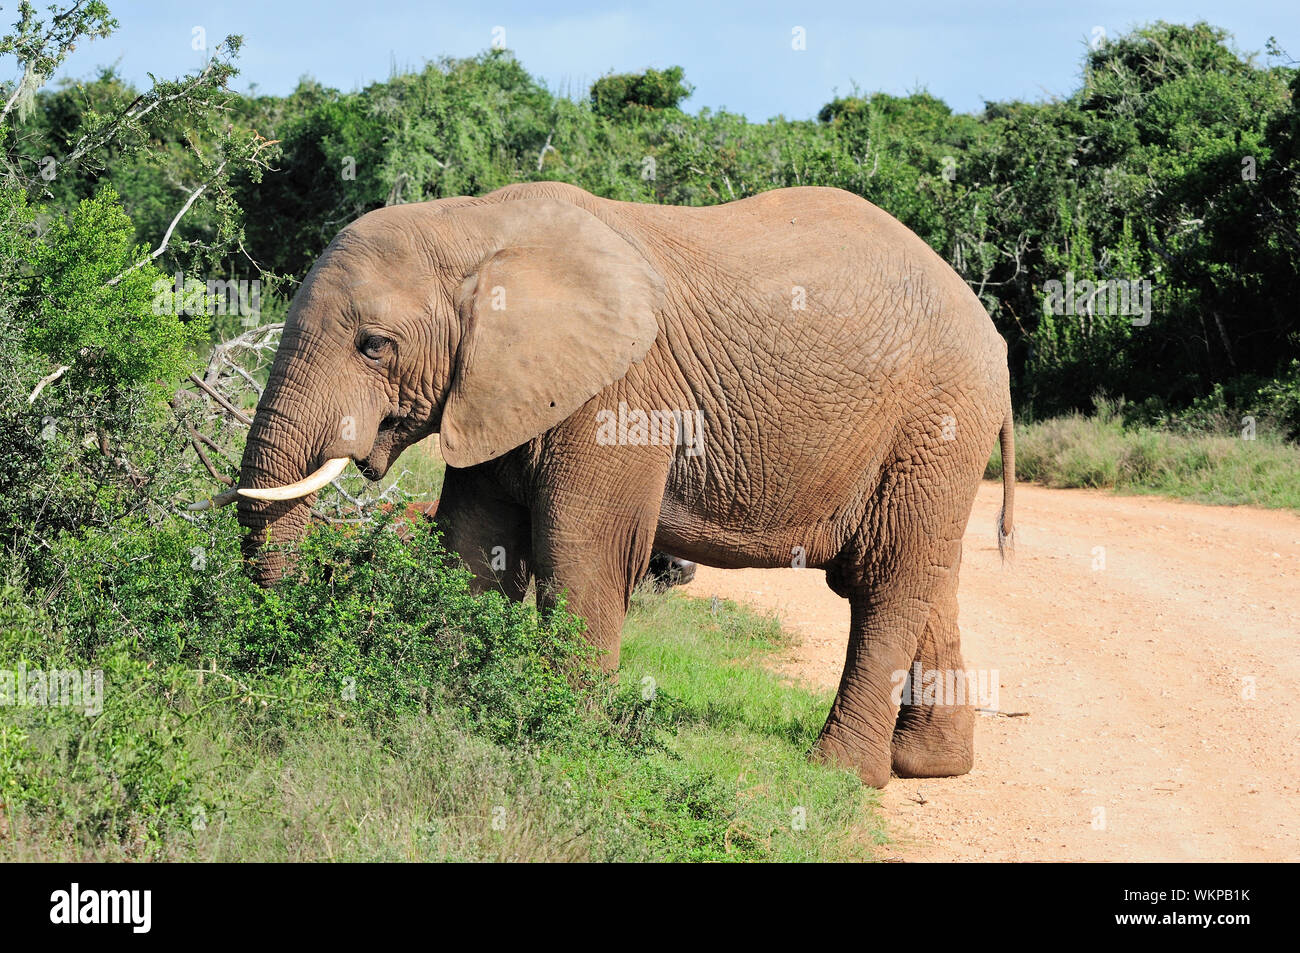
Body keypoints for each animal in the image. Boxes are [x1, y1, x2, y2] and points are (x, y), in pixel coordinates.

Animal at [217, 181, 1015, 788]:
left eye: (374, 346)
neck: (476, 225)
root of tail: (996, 340)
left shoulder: (620, 394)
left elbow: (582, 547)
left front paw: (561, 738)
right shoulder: (495, 387)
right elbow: (475, 543)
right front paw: (451, 702)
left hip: (937, 422)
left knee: (886, 581)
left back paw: (837, 775)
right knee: (915, 573)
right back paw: (928, 765)